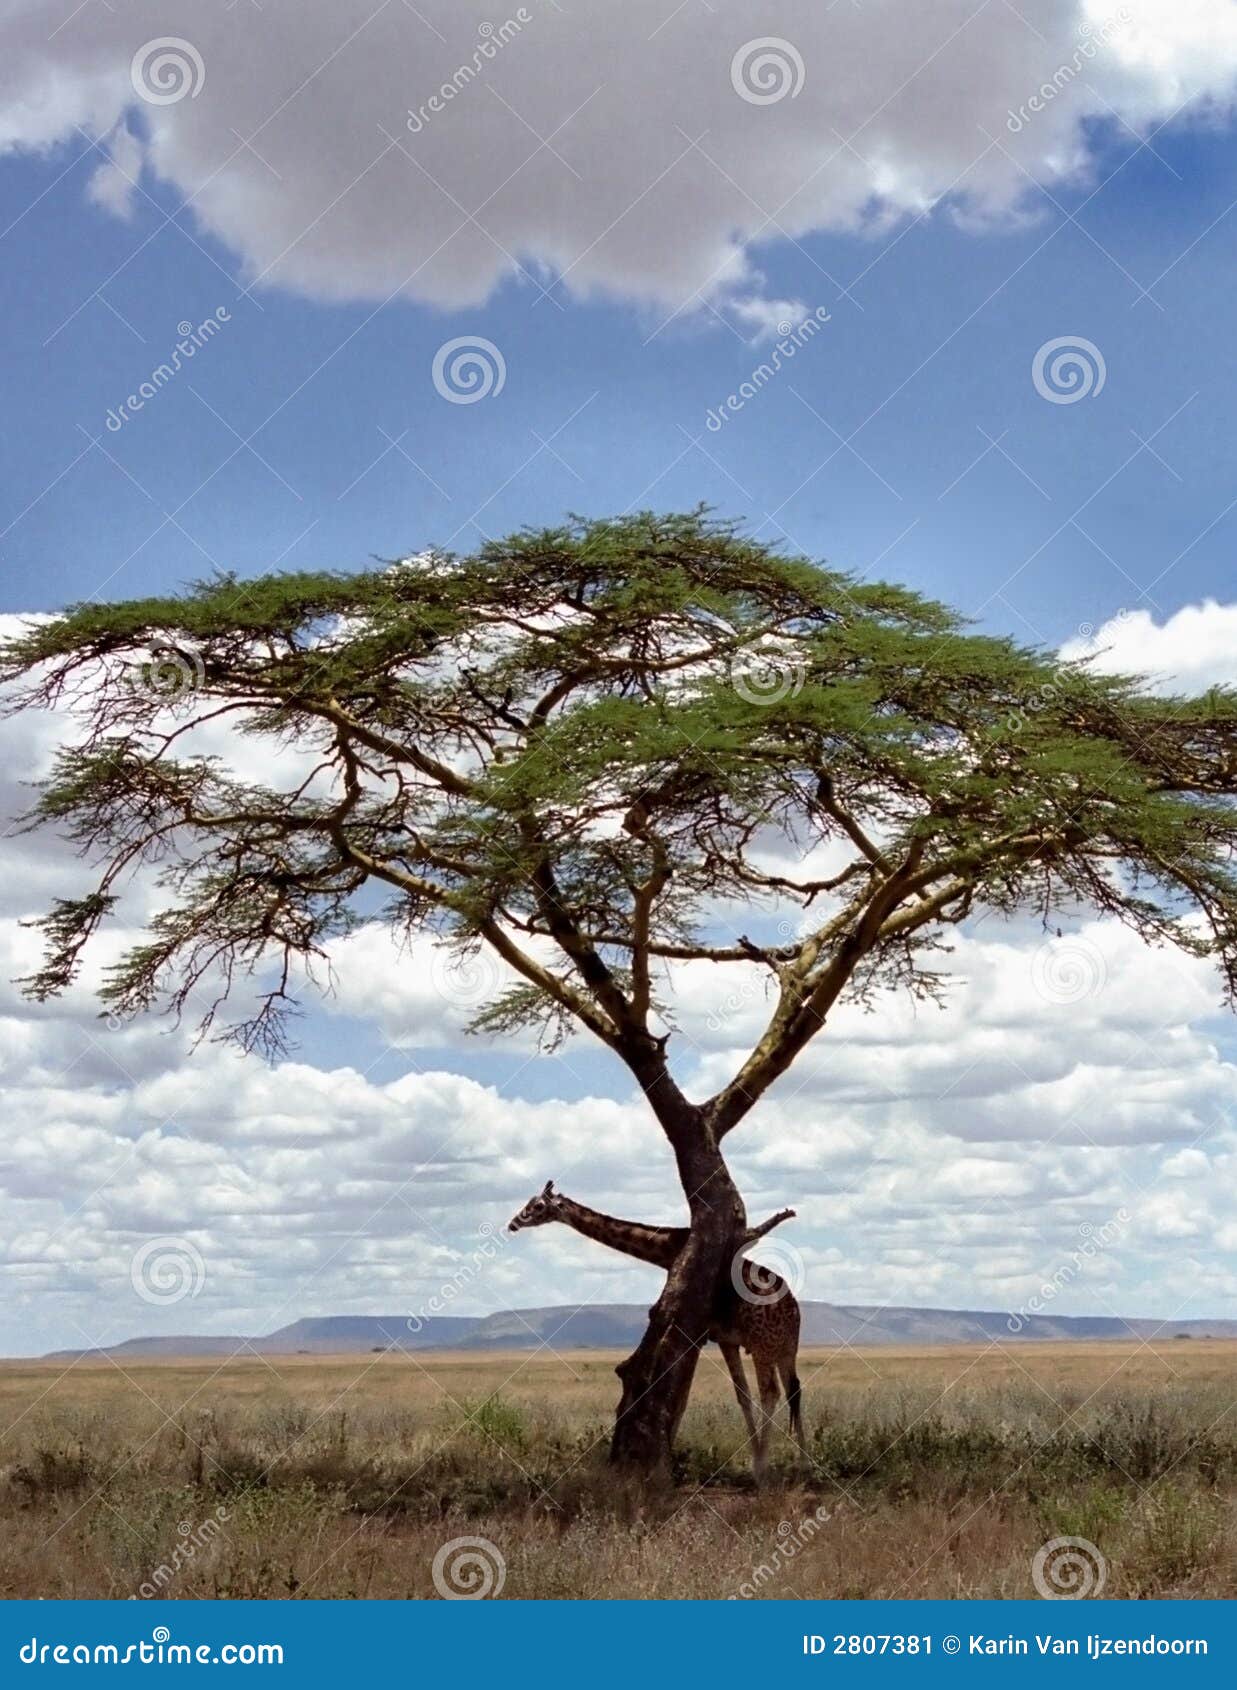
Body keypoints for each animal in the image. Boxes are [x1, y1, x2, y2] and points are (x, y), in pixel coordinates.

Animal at [508, 1181, 807, 1480]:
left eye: (537, 1206)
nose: (513, 1223)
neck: (667, 1249)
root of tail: (794, 1313)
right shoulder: (724, 1339)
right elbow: (740, 1395)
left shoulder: (700, 1333)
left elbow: (681, 1397)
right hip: (784, 1348)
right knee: (793, 1389)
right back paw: (804, 1461)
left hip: (763, 1346)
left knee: (771, 1391)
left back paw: (767, 1469)